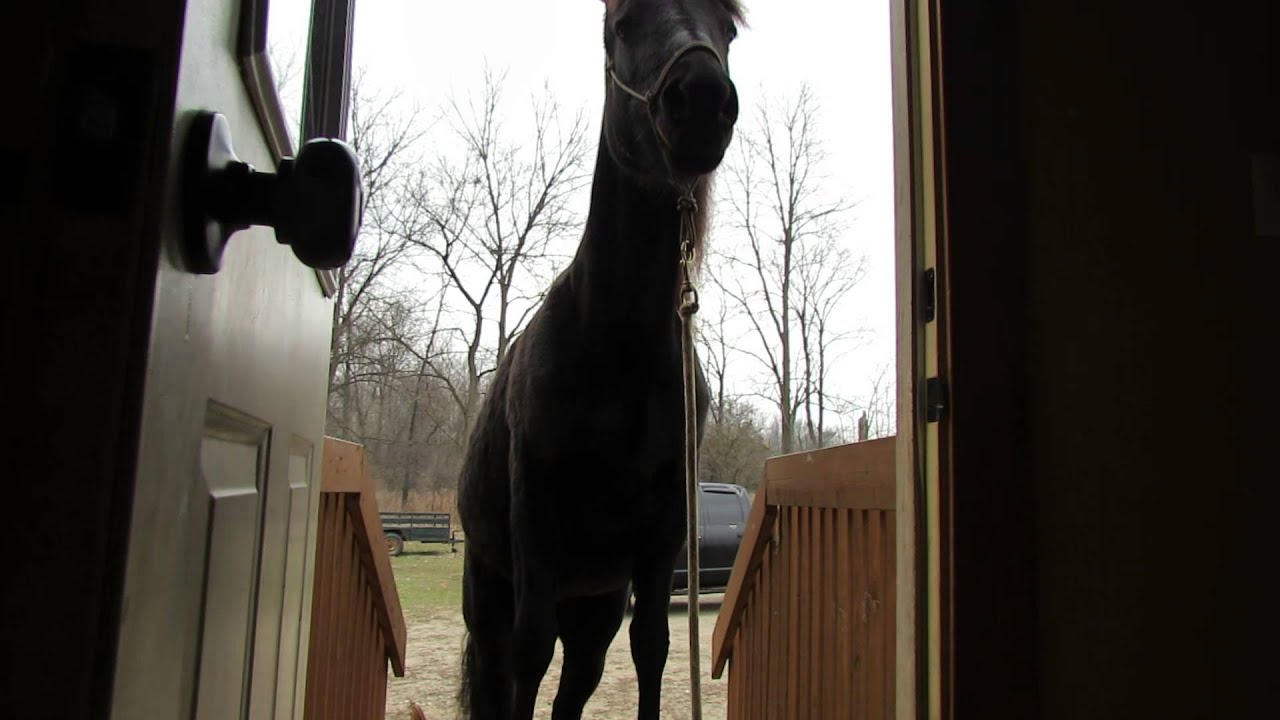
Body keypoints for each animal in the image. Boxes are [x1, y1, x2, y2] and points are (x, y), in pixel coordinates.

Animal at [455, 1, 744, 718]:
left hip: (593, 609)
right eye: (623, 21)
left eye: (728, 27)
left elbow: (652, 648)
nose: (701, 98)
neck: (621, 350)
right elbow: (530, 656)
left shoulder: (662, 535)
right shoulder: (538, 525)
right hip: (492, 596)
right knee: (504, 678)